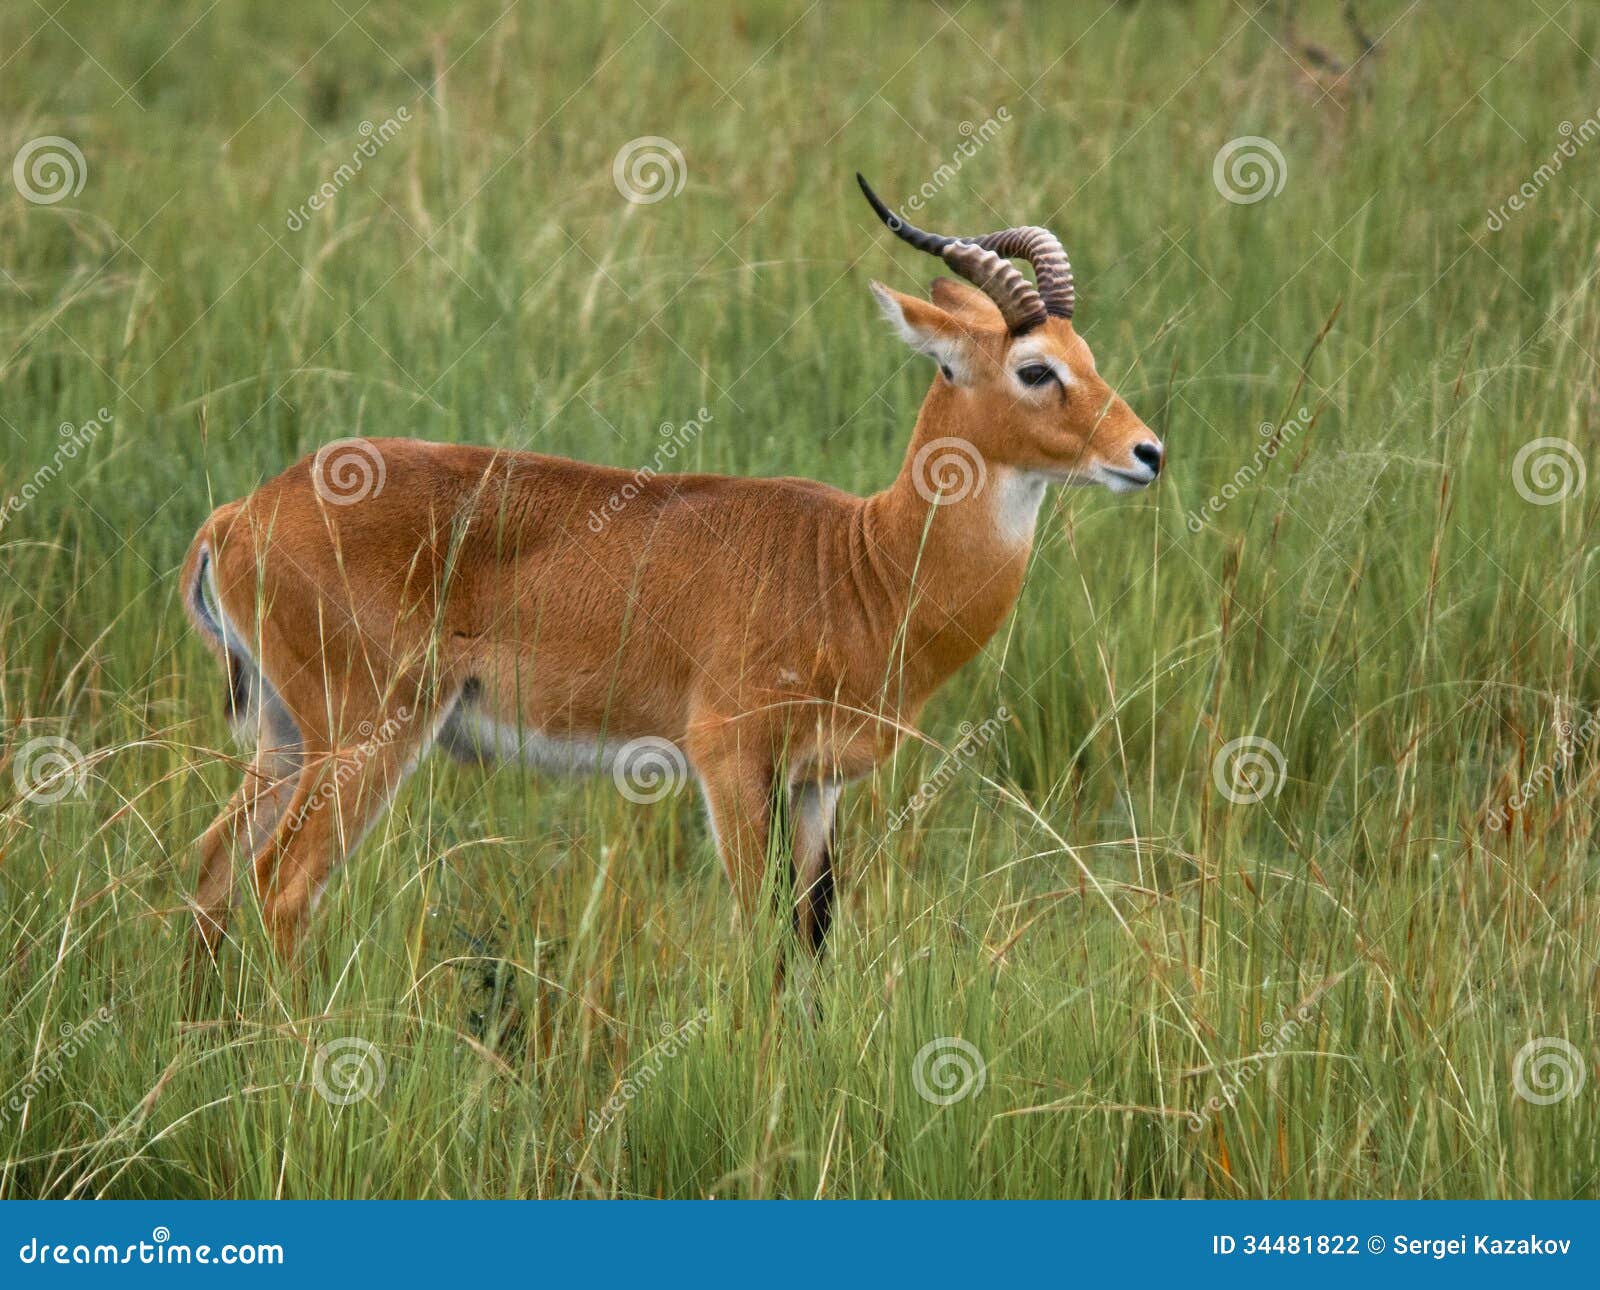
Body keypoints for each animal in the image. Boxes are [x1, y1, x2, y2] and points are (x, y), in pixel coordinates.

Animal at [179, 175, 1162, 984]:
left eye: (1089, 355)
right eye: (1036, 369)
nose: (1146, 453)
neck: (863, 567)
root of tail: (240, 515)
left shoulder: (818, 786)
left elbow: (813, 936)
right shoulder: (729, 762)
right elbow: (763, 936)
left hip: (285, 739)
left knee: (215, 865)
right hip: (366, 734)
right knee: (280, 887)